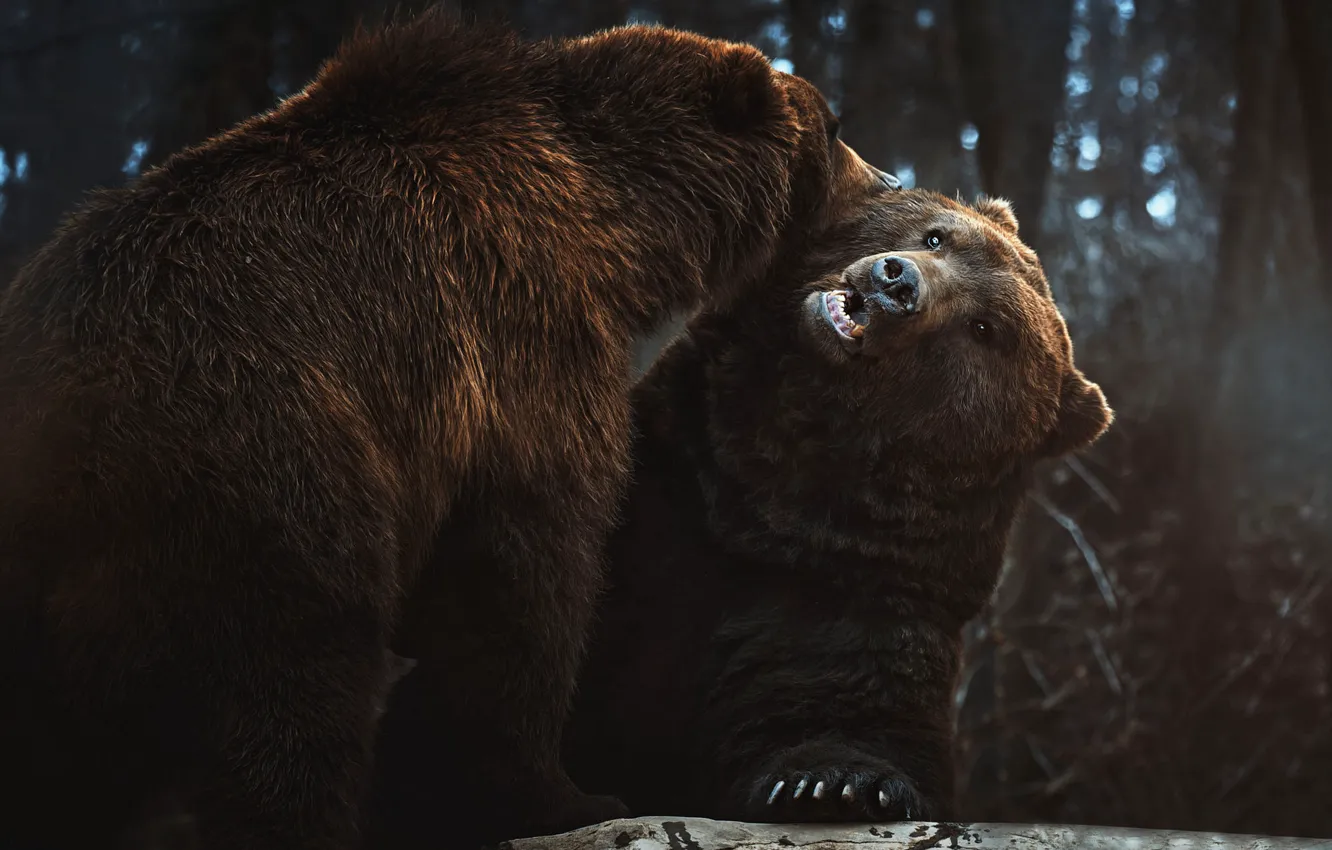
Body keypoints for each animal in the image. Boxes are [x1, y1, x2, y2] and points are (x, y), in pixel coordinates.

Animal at [0, 8, 896, 849]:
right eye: (833, 125)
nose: (887, 178)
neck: (623, 229)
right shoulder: (515, 334)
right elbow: (518, 581)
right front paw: (566, 794)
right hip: (254, 475)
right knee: (288, 692)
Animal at [561, 188, 1113, 823]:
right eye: (937, 236)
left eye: (985, 328)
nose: (897, 283)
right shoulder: (666, 492)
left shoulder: (856, 594)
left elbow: (835, 711)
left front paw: (835, 782)